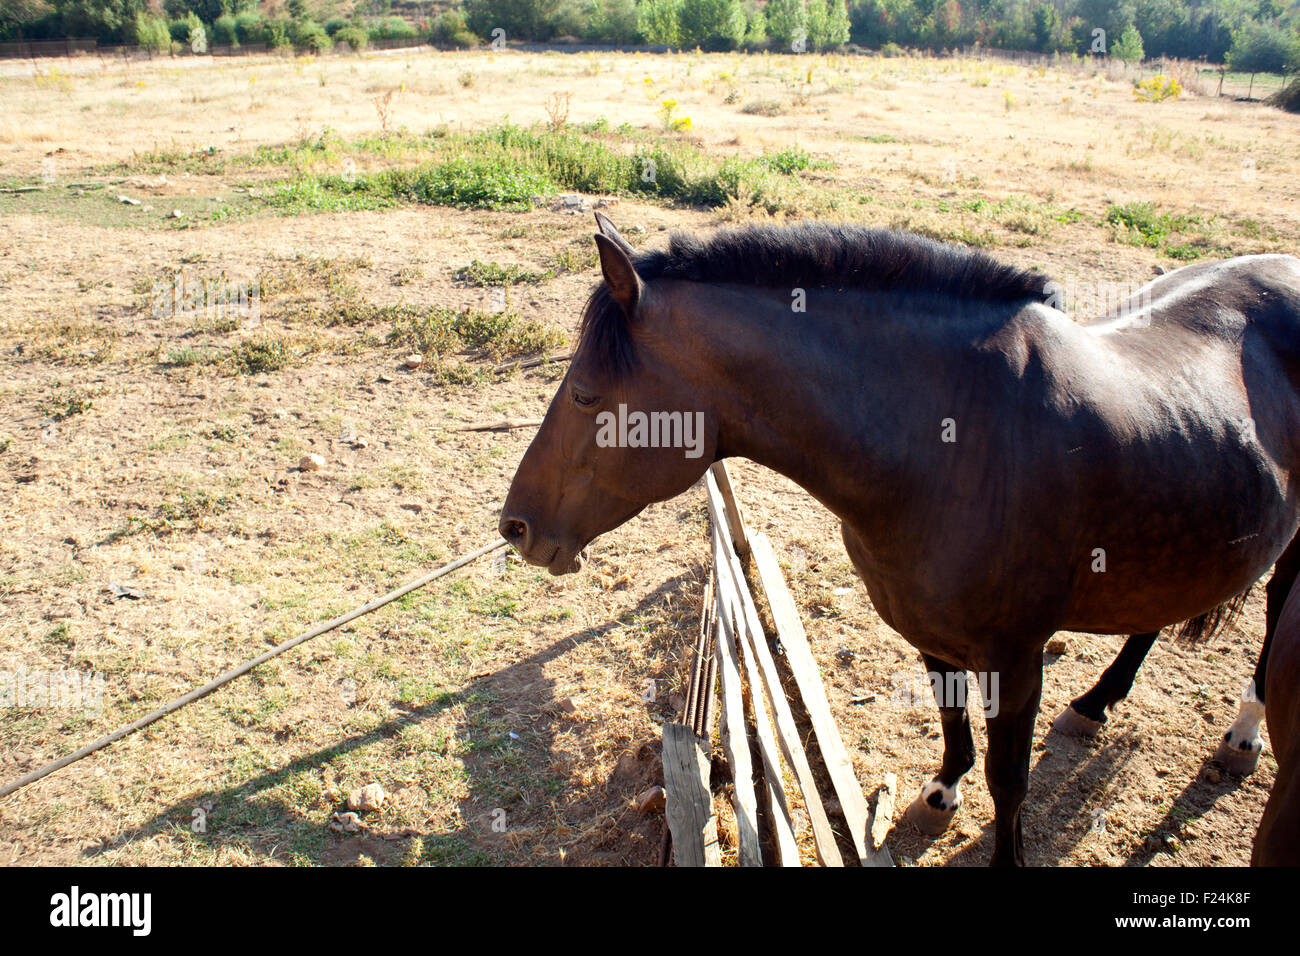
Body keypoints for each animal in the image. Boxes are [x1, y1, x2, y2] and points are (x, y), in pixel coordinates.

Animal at [500, 214, 1300, 865]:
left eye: (585, 395)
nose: (516, 527)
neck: (955, 441)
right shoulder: (928, 631)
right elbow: (950, 719)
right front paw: (942, 792)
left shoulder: (1017, 657)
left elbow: (1010, 784)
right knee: (1154, 616)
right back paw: (1099, 701)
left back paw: (1243, 735)